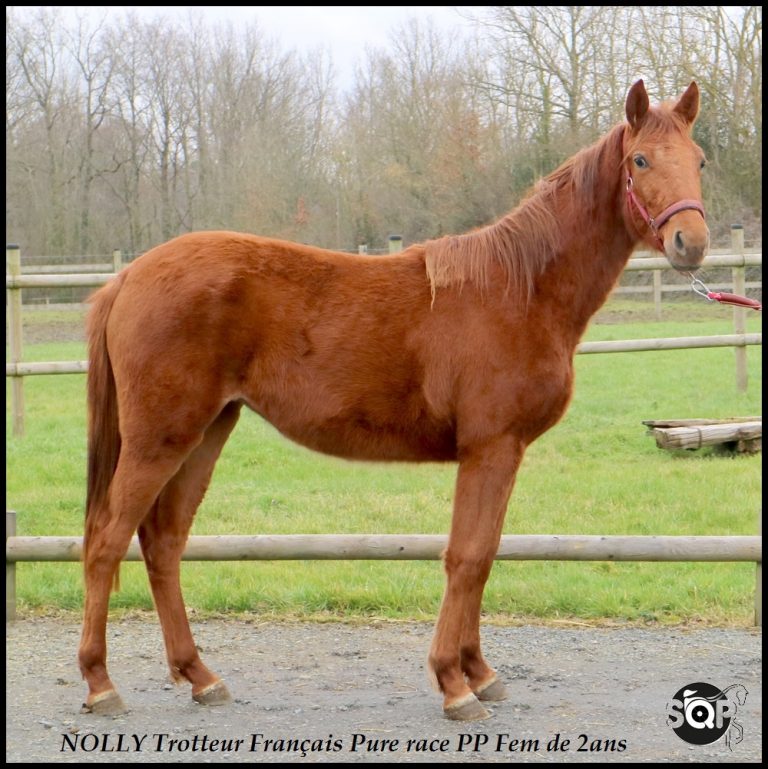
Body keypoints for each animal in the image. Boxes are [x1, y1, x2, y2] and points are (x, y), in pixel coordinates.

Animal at [79, 80, 709, 721]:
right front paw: (454, 684)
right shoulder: (490, 447)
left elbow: (485, 555)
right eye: (640, 160)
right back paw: (100, 683)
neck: (522, 289)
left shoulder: (504, 453)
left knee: (163, 542)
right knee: (106, 541)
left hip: (206, 432)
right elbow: (467, 557)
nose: (691, 242)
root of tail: (127, 277)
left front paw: (479, 672)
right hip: (160, 439)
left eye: (699, 160)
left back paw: (200, 676)